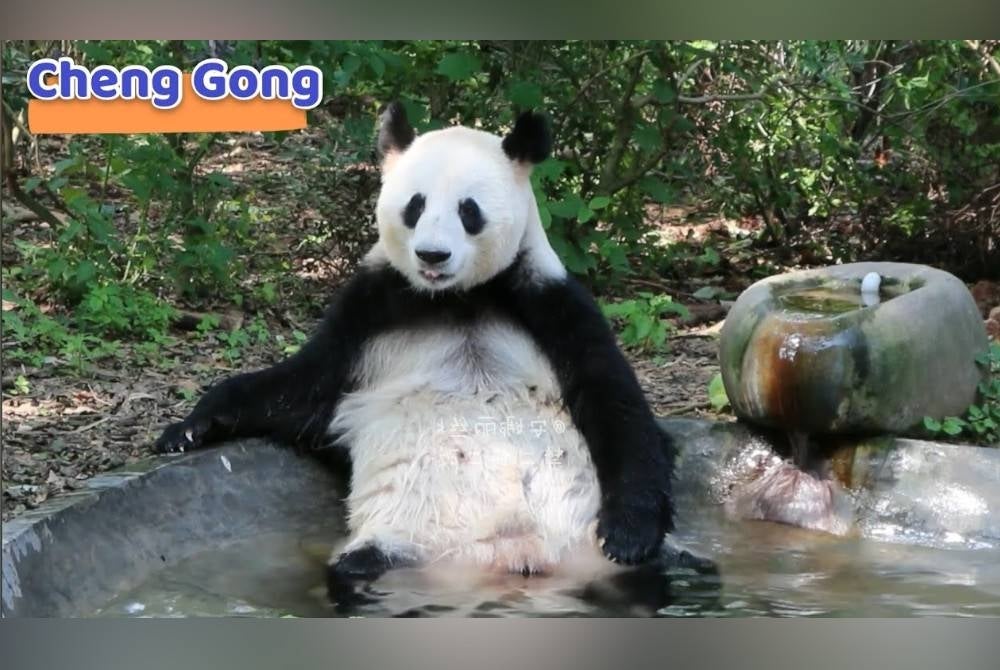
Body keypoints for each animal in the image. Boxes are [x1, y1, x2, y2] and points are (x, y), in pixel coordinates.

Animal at [155, 103, 686, 608]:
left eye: (469, 210)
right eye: (415, 205)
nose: (432, 256)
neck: (456, 299)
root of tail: (515, 557)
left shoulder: (546, 302)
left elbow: (616, 405)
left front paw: (628, 533)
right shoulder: (369, 314)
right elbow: (299, 386)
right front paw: (188, 429)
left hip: (584, 551)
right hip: (406, 546)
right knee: (356, 573)